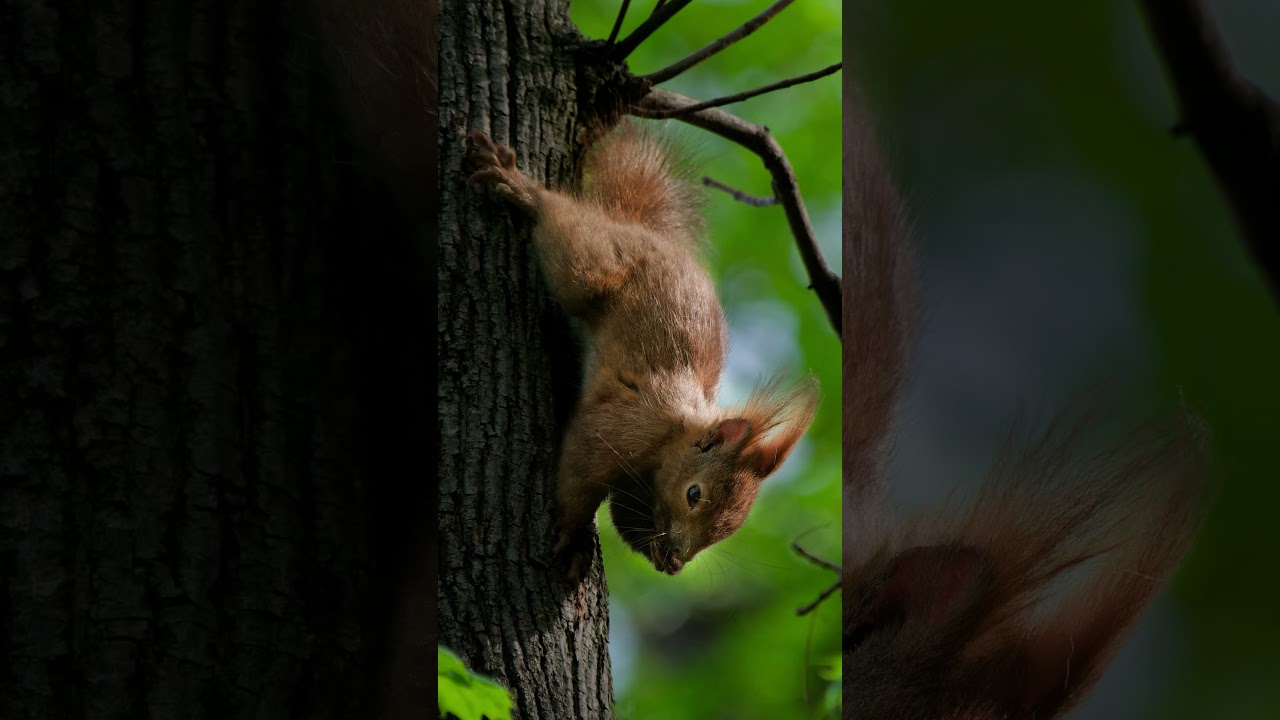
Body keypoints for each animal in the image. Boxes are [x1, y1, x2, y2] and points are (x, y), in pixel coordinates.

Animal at [466, 122, 819, 581]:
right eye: (694, 494)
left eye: (729, 528)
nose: (679, 560)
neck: (675, 435)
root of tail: (640, 228)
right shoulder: (626, 427)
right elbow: (578, 472)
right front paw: (574, 538)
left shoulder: (640, 486)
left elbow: (626, 513)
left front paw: (656, 553)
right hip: (592, 264)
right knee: (567, 229)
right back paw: (519, 185)